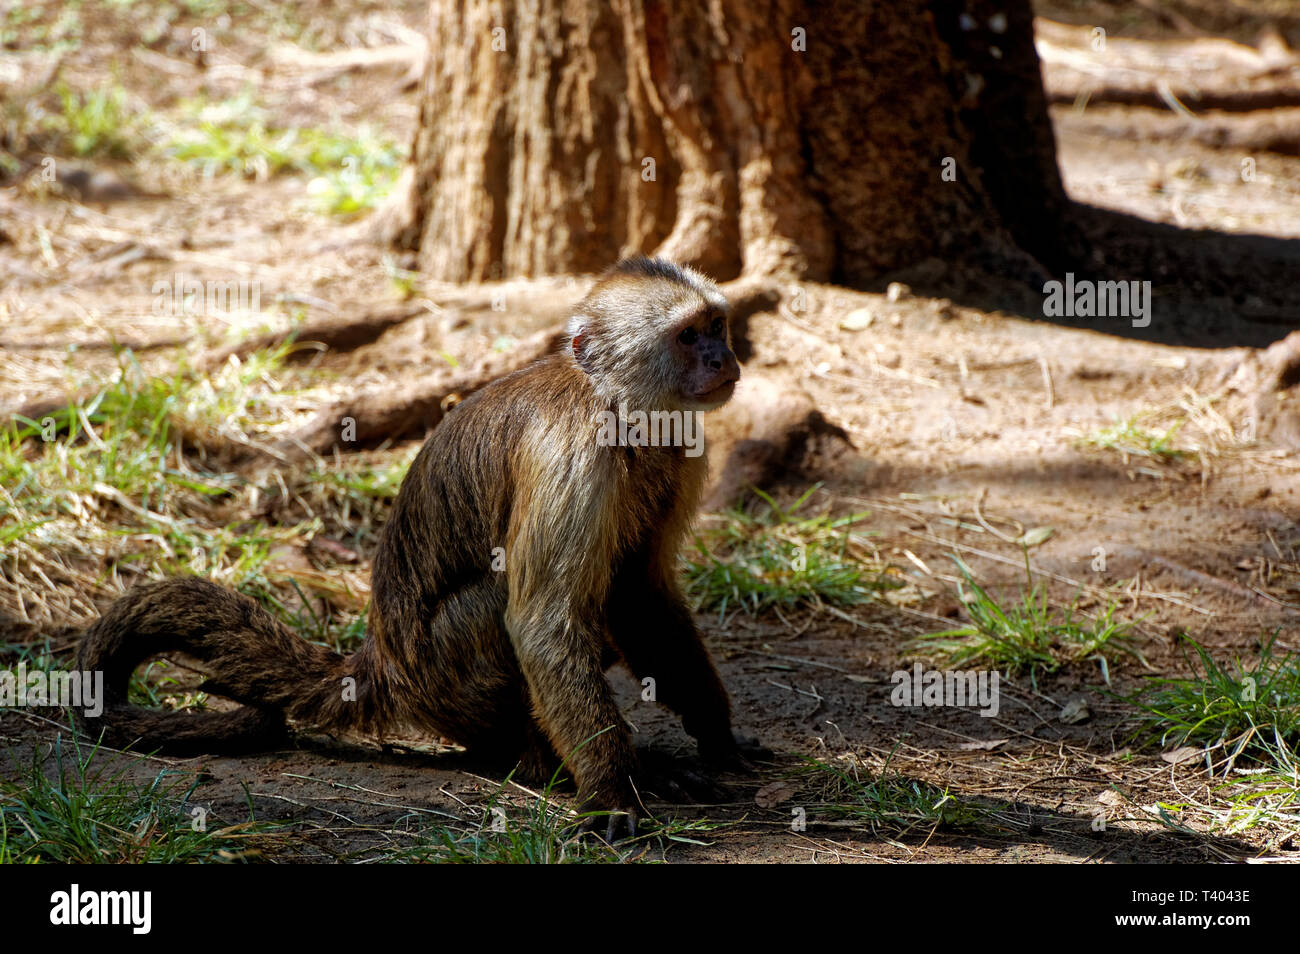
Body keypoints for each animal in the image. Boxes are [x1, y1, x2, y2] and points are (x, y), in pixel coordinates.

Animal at [76, 255, 757, 840]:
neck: (616, 406)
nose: (722, 357)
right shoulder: (571, 451)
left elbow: (640, 592)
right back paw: (547, 764)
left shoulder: (681, 448)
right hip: (444, 676)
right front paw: (611, 792)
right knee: (502, 603)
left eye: (716, 326)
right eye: (688, 337)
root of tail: (383, 664)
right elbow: (543, 621)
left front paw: (715, 733)